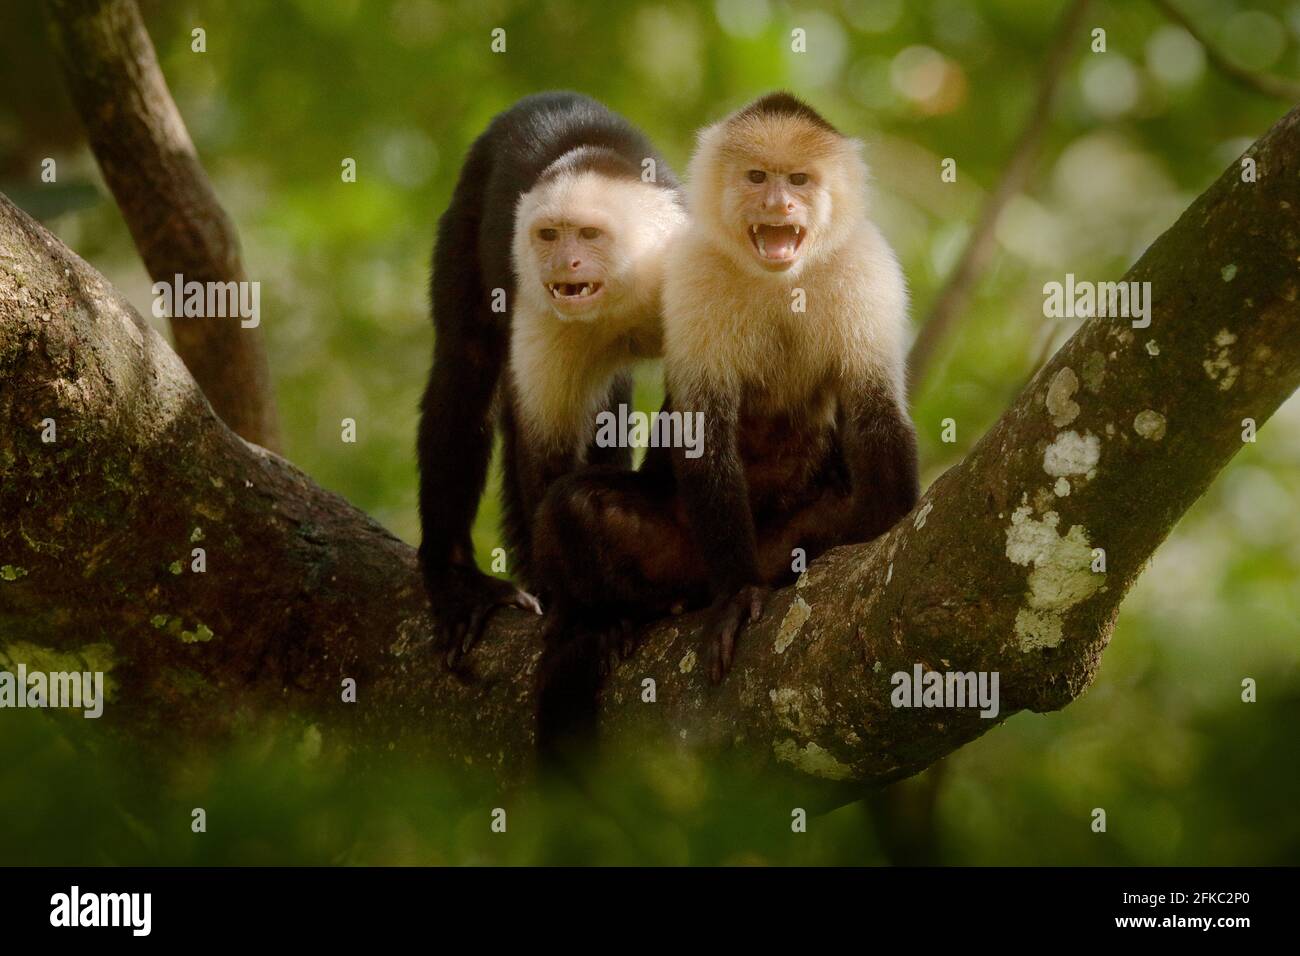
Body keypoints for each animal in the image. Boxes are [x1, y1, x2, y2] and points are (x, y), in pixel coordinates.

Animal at [417, 92, 686, 666]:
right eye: (548, 235)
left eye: (588, 235)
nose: (565, 263)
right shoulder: (544, 308)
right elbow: (546, 456)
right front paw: (592, 613)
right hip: (467, 209)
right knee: (466, 367)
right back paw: (456, 576)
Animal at [532, 92, 918, 755]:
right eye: (757, 177)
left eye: (798, 180)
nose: (778, 205)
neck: (779, 279)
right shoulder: (693, 271)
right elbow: (700, 430)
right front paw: (737, 597)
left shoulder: (867, 270)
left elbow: (876, 417)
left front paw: (885, 523)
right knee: (572, 507)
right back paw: (630, 615)